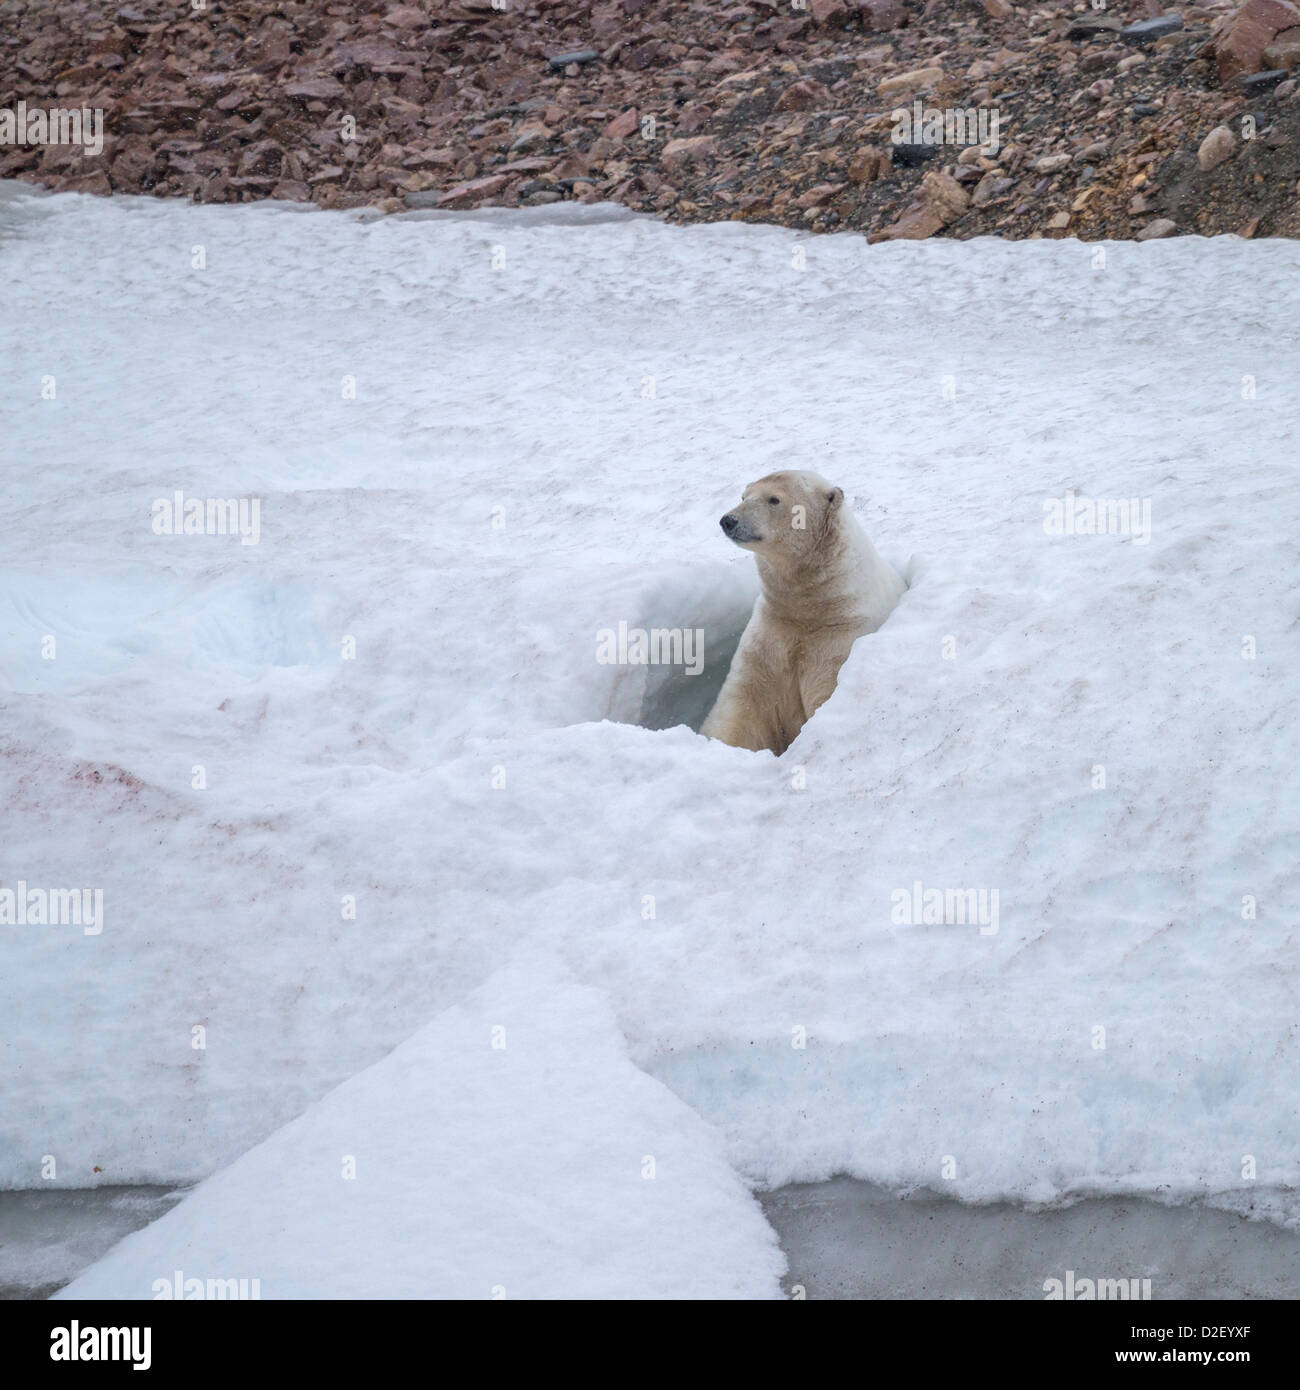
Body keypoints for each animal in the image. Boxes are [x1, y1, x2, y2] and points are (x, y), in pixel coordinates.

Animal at [700, 470, 905, 756]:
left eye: (774, 499)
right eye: (743, 496)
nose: (728, 520)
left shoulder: (841, 636)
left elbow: (824, 691)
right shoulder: (769, 635)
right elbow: (744, 706)